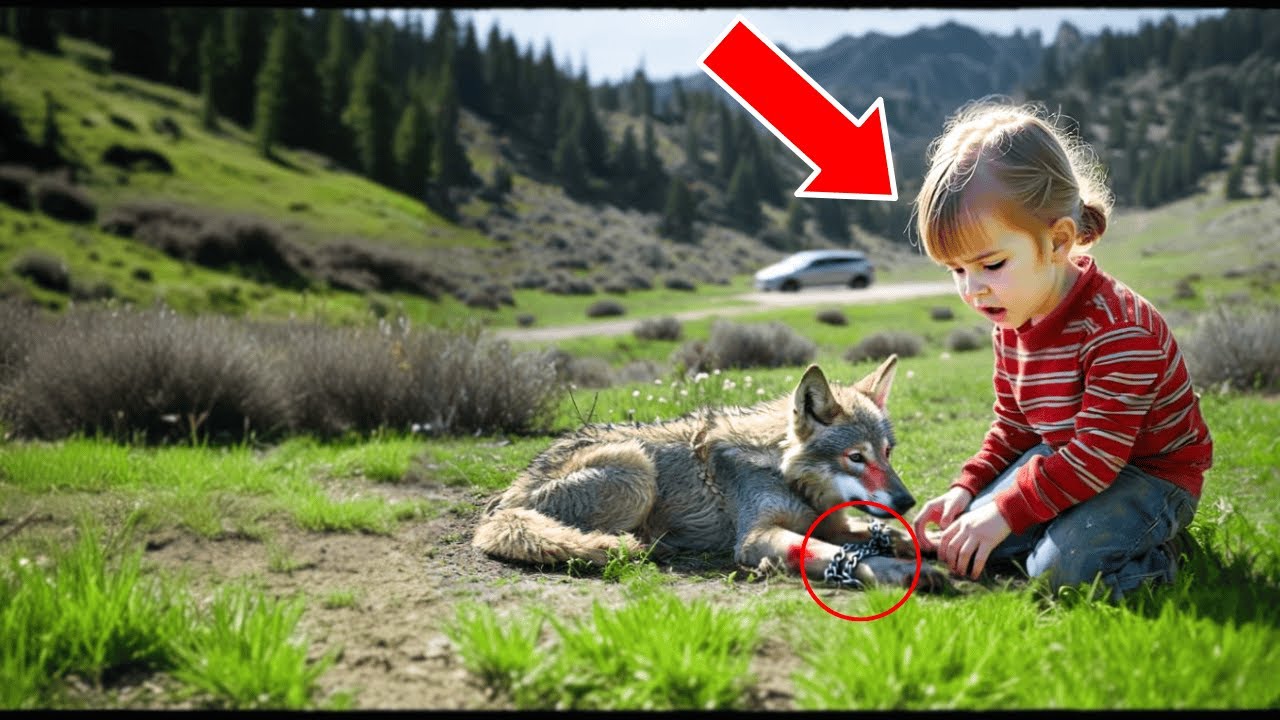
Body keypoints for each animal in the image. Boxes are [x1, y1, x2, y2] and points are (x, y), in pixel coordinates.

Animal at [473, 355, 949, 591]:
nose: (906, 500)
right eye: (855, 457)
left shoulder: (832, 523)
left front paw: (934, 542)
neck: (783, 474)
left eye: (886, 453)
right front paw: (900, 572)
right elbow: (833, 553)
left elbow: (892, 535)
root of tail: (505, 501)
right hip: (637, 465)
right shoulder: (755, 538)